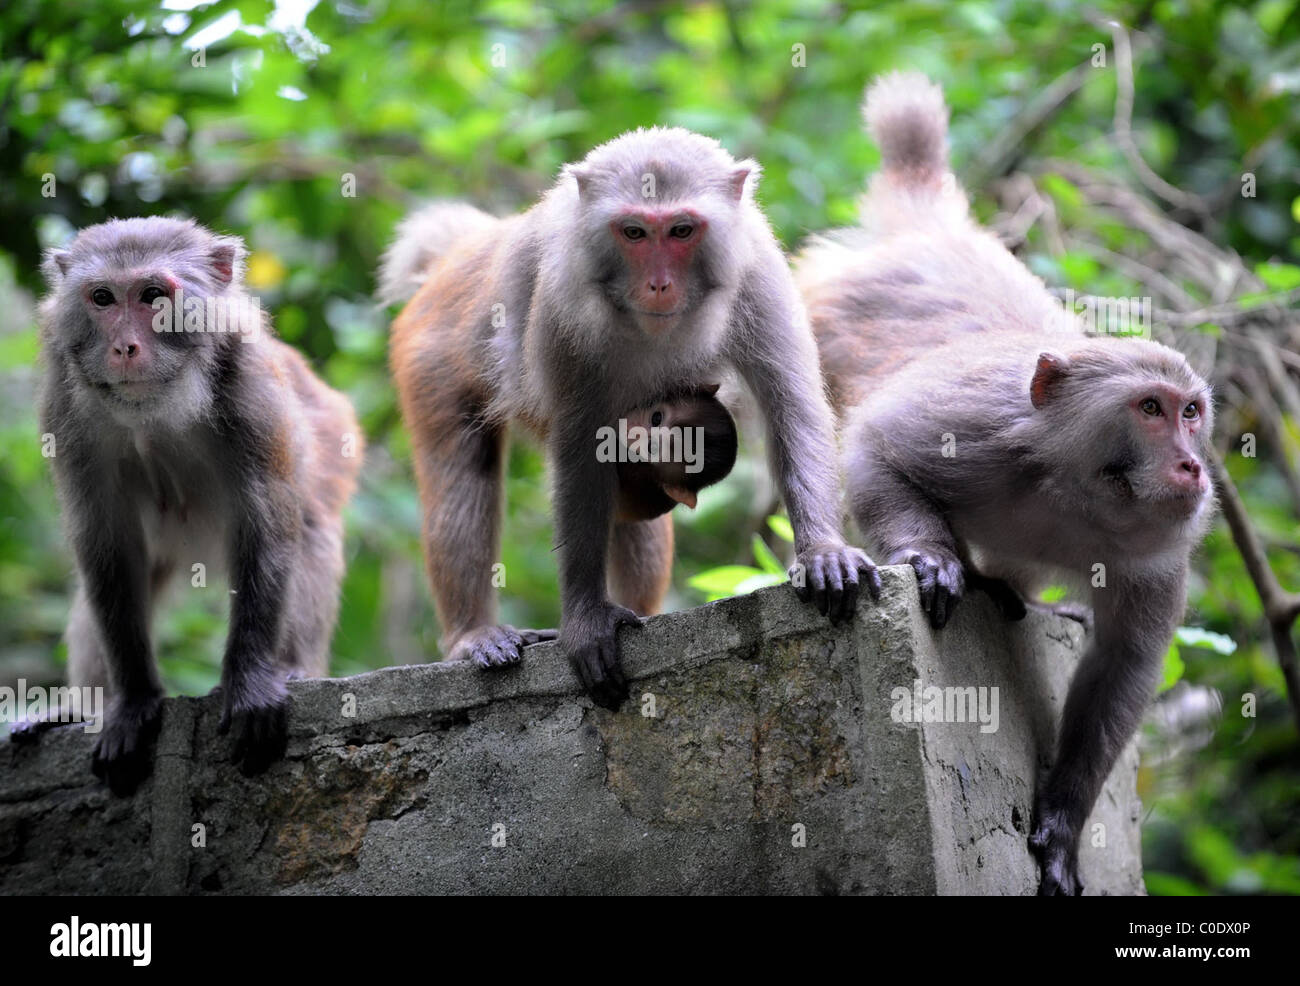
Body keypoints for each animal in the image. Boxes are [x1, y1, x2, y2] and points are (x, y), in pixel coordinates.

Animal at [21, 217, 363, 795]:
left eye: (154, 296)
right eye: (102, 298)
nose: (125, 347)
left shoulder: (248, 385)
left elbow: (267, 529)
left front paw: (250, 682)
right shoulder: (64, 411)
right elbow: (105, 549)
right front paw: (132, 703)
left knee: (310, 534)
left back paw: (294, 666)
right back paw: (79, 708)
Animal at [382, 130, 879, 710]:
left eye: (682, 230)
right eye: (635, 232)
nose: (659, 285)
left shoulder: (758, 273)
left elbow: (790, 404)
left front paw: (824, 552)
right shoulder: (562, 303)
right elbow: (579, 448)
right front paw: (584, 620)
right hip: (429, 352)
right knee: (463, 473)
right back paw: (473, 634)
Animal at [795, 74, 1214, 895]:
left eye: (1191, 412)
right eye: (1150, 409)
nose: (1192, 465)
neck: (1081, 494)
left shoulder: (1158, 554)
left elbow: (1120, 671)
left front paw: (1062, 823)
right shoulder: (983, 425)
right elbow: (876, 442)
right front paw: (932, 558)